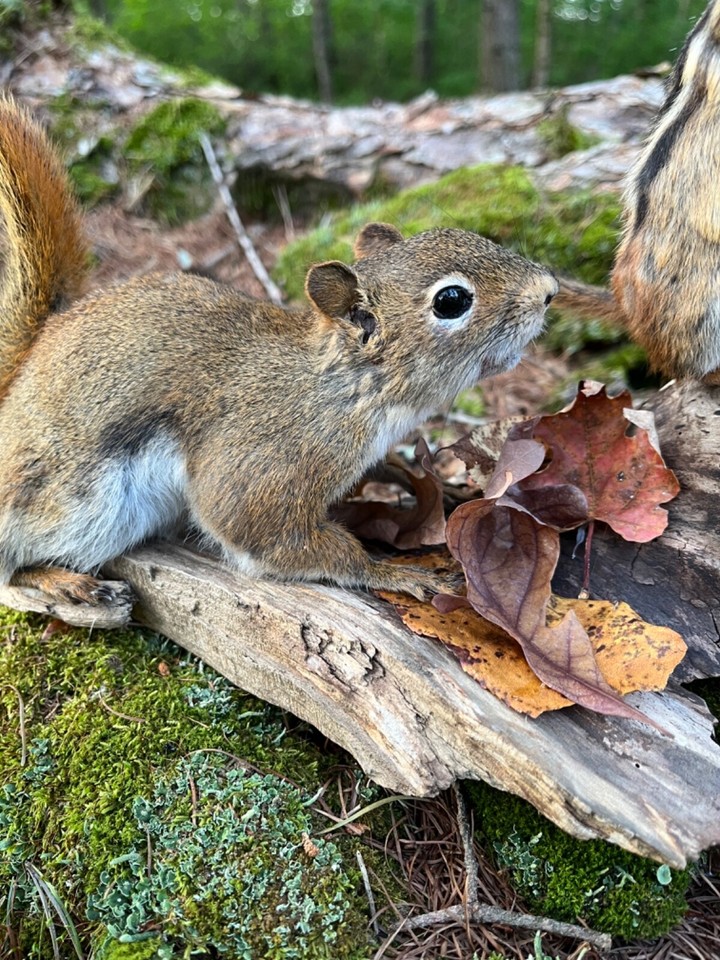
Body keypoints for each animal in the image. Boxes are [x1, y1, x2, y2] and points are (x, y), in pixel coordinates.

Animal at [0, 95, 557, 606]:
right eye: (451, 301)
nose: (549, 290)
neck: (349, 389)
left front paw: (426, 480)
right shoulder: (269, 460)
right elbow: (269, 532)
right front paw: (392, 573)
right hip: (72, 509)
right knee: (12, 574)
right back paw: (68, 585)